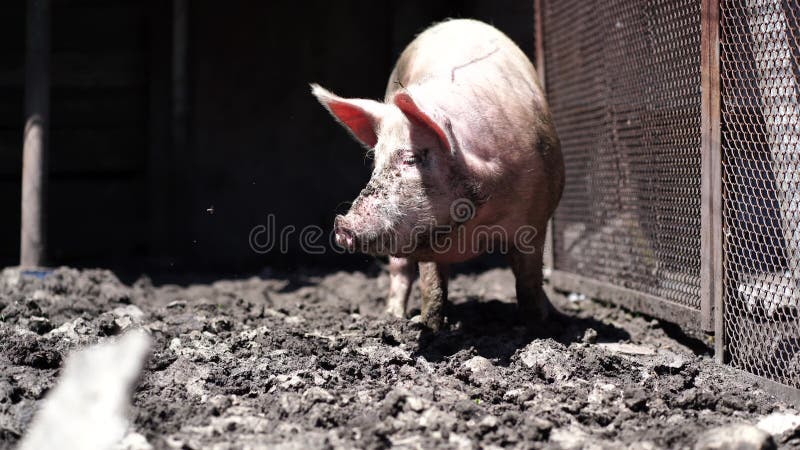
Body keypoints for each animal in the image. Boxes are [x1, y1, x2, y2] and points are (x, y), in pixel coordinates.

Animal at [311, 19, 564, 331]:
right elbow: (432, 287)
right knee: (399, 271)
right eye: (375, 161)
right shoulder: (421, 232)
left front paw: (535, 328)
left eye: (411, 158)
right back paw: (393, 317)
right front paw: (428, 327)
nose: (343, 226)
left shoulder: (535, 220)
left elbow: (528, 282)